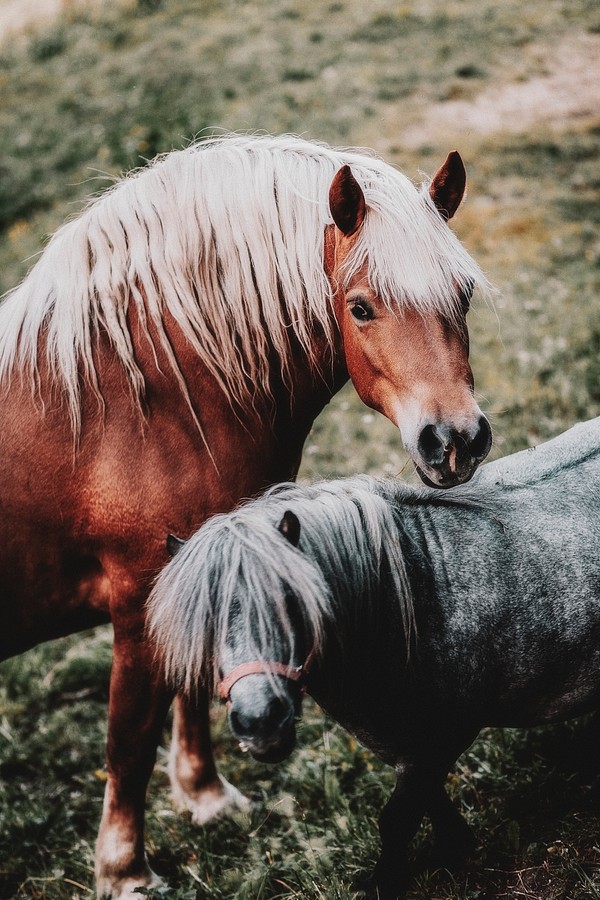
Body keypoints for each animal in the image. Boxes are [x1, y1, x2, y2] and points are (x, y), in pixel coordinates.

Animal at [0, 133, 490, 897]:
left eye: (461, 294)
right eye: (361, 307)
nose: (457, 441)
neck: (149, 398)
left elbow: (193, 685)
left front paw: (204, 796)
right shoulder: (136, 599)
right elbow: (129, 739)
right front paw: (124, 868)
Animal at [149, 416, 600, 899]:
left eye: (292, 600)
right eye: (203, 618)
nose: (259, 723)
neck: (414, 594)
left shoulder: (443, 736)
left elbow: (397, 819)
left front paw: (387, 879)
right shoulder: (404, 743)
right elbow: (427, 800)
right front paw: (453, 846)